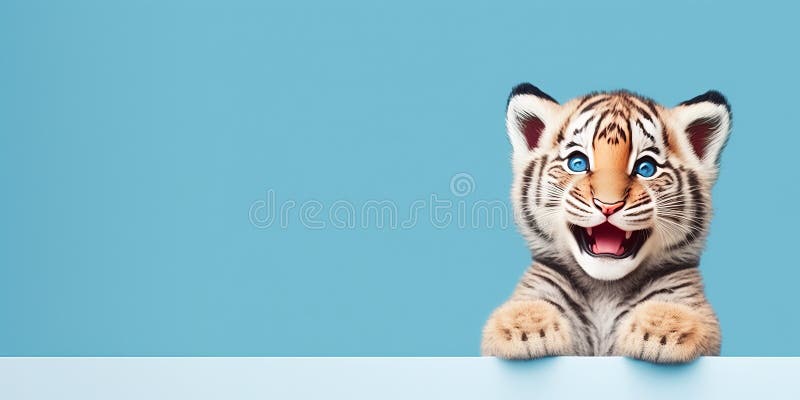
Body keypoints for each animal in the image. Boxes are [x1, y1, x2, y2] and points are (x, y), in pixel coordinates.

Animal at [481, 83, 731, 363]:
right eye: (578, 163)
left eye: (645, 168)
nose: (608, 205)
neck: (605, 290)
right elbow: (528, 305)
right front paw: (526, 328)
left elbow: (678, 308)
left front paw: (662, 330)